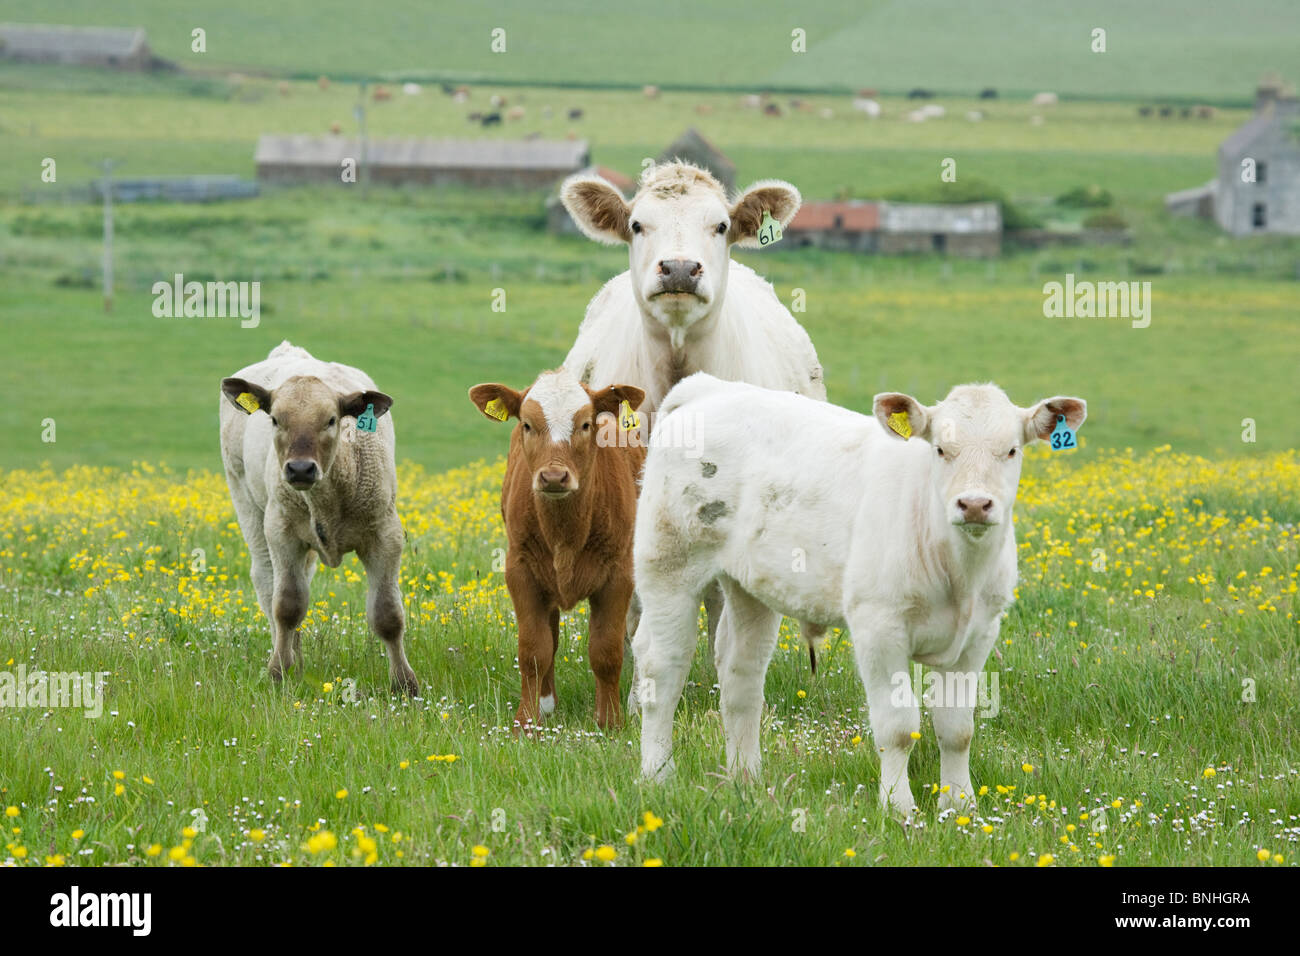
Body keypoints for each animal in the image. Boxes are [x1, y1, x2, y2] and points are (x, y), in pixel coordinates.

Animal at [218, 341, 417, 695]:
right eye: (274, 419)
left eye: (331, 419)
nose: (300, 469)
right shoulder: (282, 532)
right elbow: (287, 606)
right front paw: (279, 672)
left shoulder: (386, 534)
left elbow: (388, 615)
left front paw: (404, 685)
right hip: (247, 503)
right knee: (268, 584)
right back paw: (288, 658)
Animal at [469, 368, 647, 732]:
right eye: (527, 424)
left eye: (585, 424)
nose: (553, 476)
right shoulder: (520, 571)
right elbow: (534, 650)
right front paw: (527, 721)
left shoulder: (619, 576)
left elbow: (607, 651)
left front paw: (610, 721)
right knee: (548, 633)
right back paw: (546, 704)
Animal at [631, 374, 1086, 818]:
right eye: (941, 449)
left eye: (1011, 450)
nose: (974, 504)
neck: (958, 571)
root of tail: (708, 388)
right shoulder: (878, 627)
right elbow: (898, 727)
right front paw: (898, 807)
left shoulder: (979, 635)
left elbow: (957, 729)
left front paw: (960, 806)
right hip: (668, 565)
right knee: (663, 669)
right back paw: (657, 773)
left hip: (749, 588)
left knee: (740, 675)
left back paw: (746, 778)